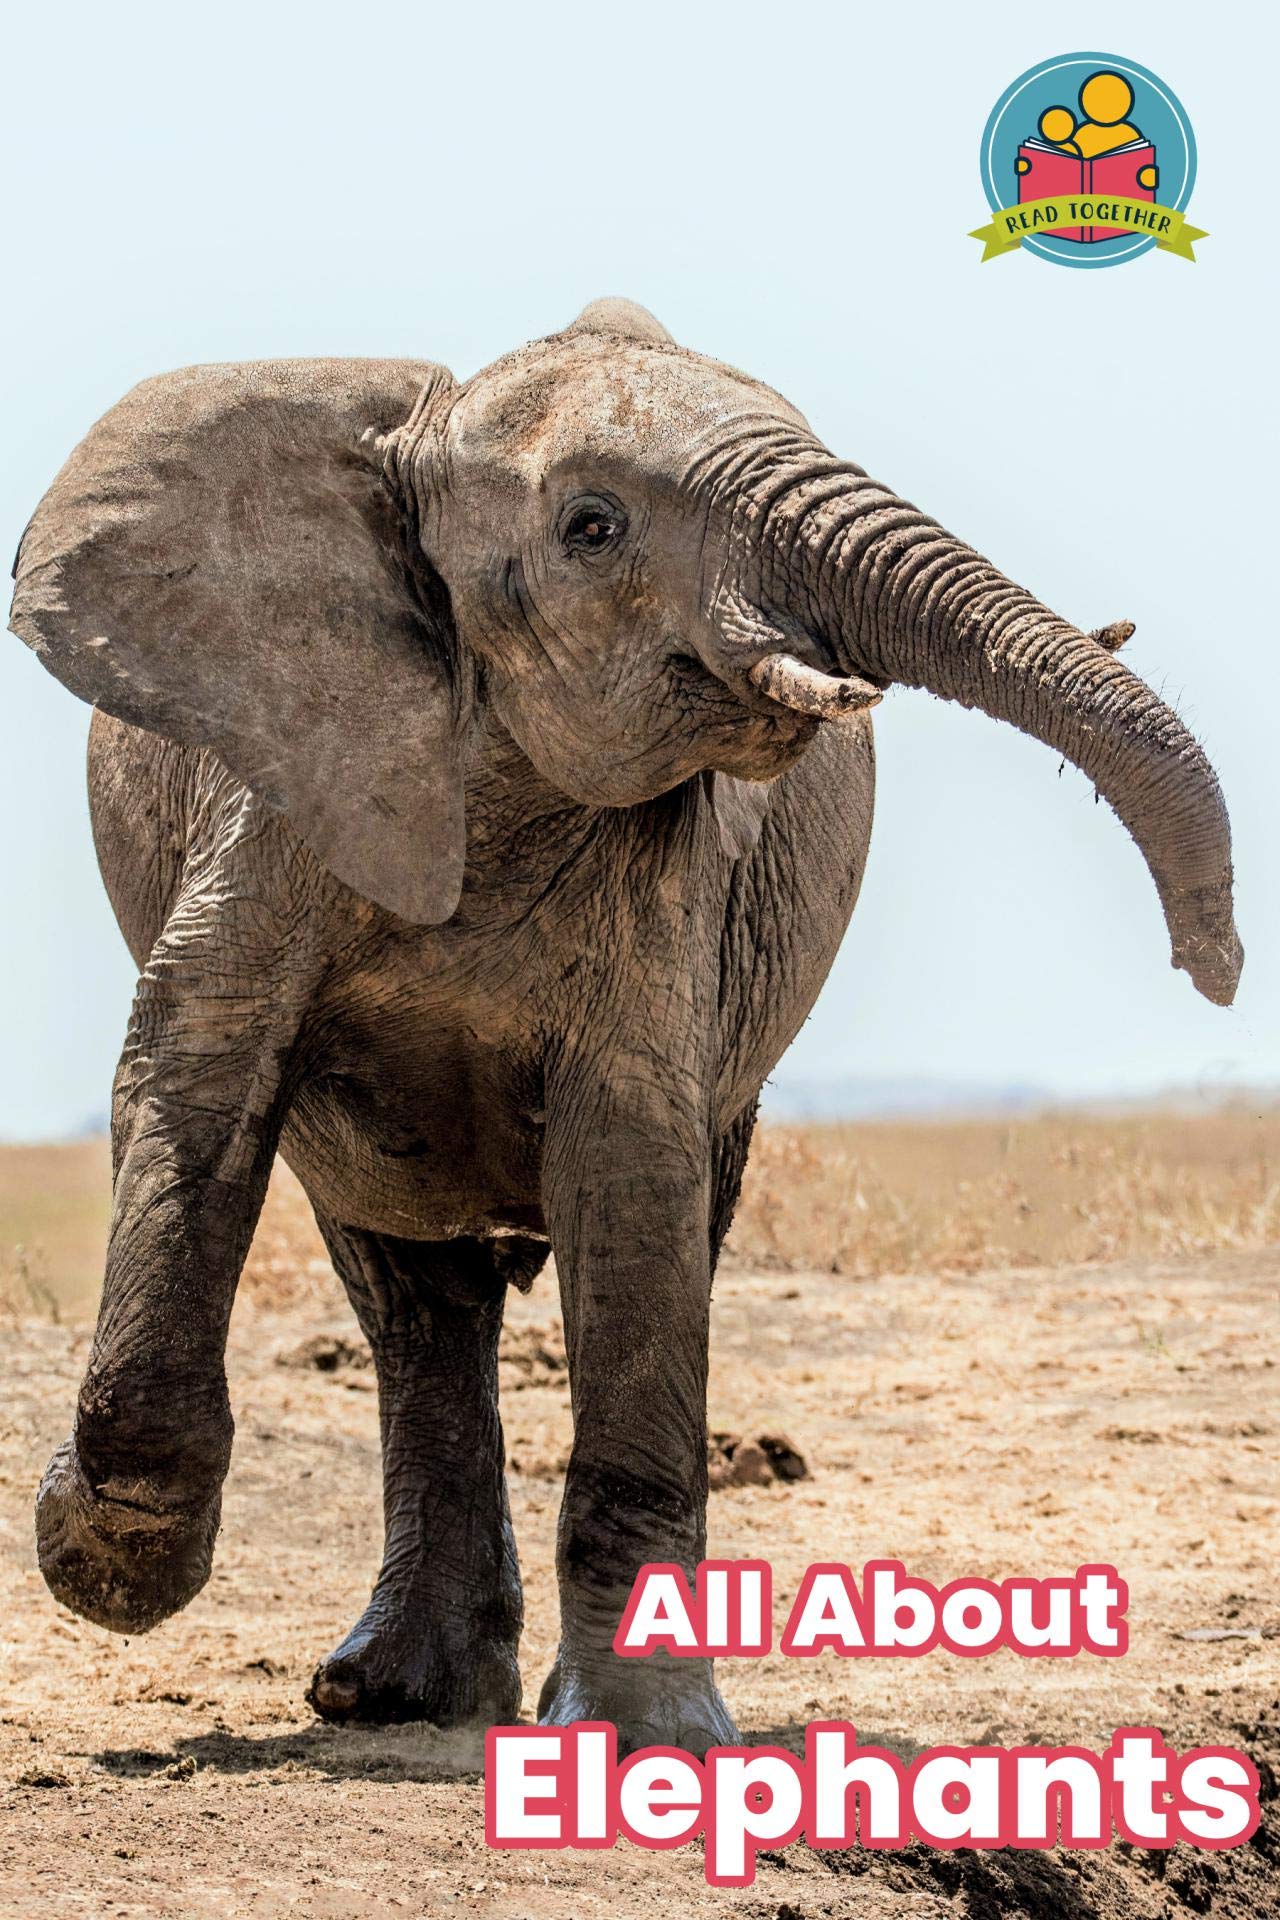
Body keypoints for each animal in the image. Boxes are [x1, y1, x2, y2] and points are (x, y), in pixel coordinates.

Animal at [8, 297, 1241, 1755]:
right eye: (592, 527)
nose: (1215, 968)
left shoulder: (669, 873)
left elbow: (630, 1163)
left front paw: (648, 1742)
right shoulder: (282, 783)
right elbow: (194, 1072)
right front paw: (98, 1562)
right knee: (410, 1295)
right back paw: (387, 1698)